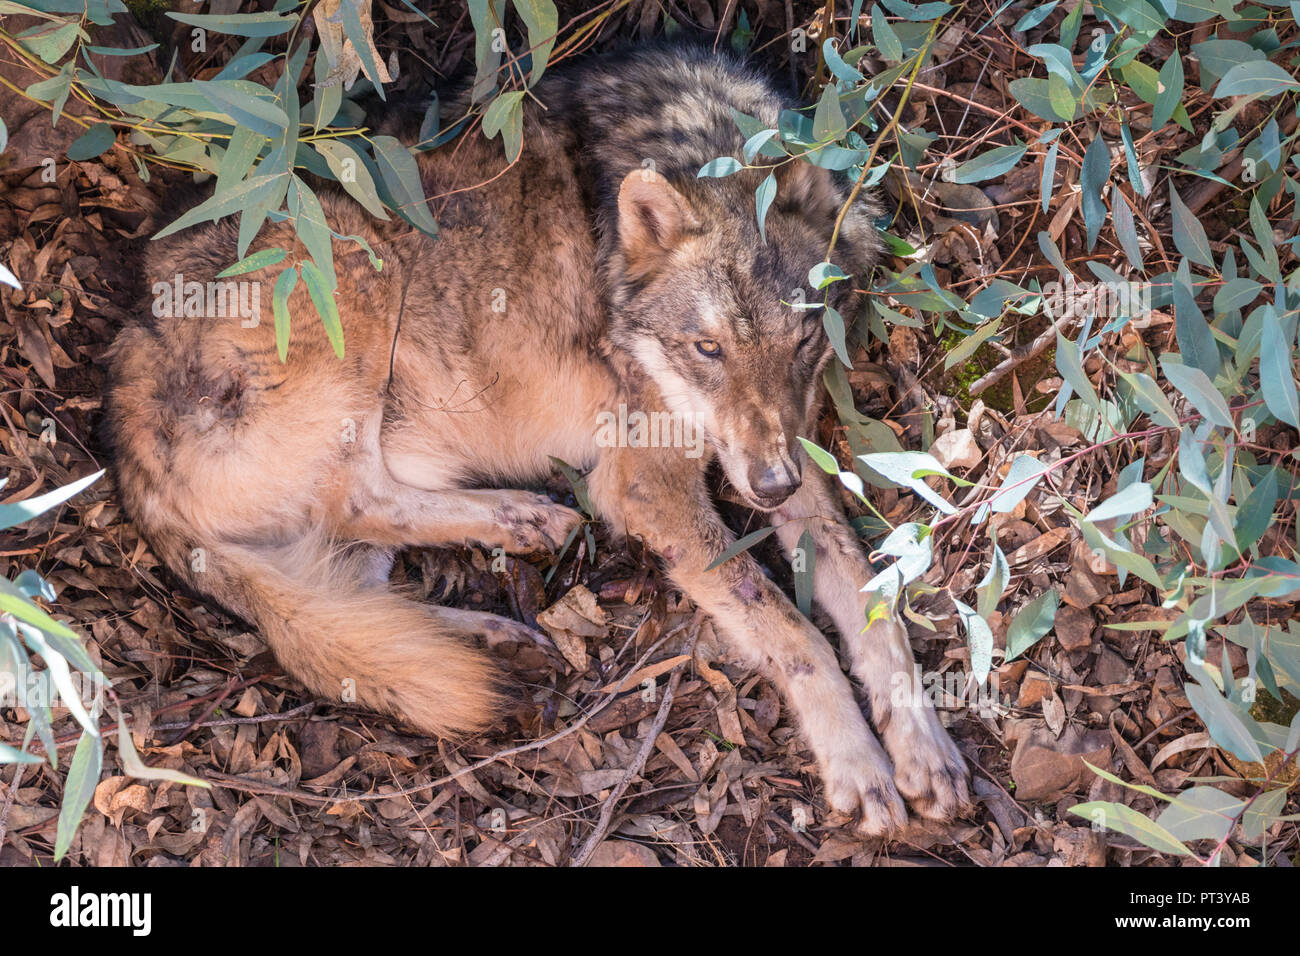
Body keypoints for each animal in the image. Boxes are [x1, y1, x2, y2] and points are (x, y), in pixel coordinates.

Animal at [105, 44, 968, 833]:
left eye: (803, 342)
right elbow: (798, 632)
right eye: (708, 349)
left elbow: (869, 600)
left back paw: (500, 612)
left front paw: (921, 746)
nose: (772, 486)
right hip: (351, 275)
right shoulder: (647, 485)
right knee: (352, 511)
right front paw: (858, 763)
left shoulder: (787, 450)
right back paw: (522, 533)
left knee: (351, 585)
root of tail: (119, 395)